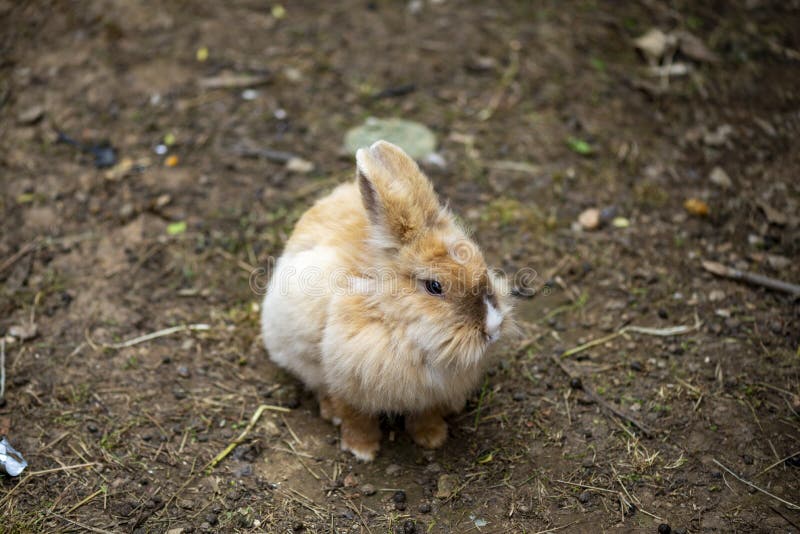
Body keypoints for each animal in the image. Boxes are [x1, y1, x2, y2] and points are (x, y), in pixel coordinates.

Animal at [261, 140, 512, 461]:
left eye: (484, 269)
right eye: (434, 286)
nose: (492, 328)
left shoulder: (430, 395)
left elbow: (426, 414)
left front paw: (432, 438)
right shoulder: (344, 378)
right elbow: (354, 415)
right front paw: (362, 450)